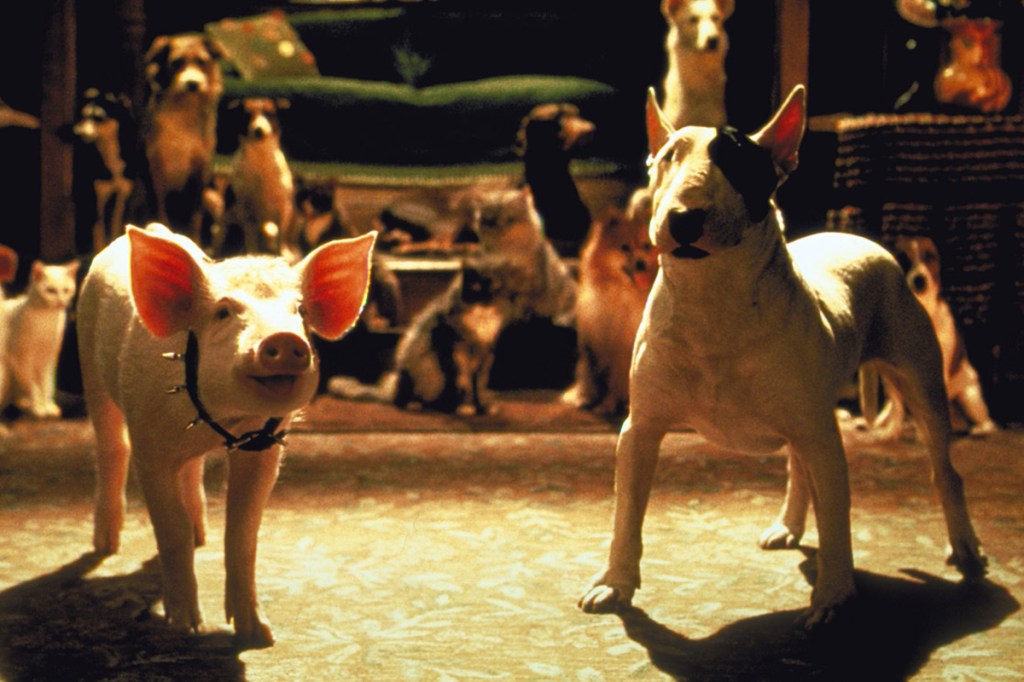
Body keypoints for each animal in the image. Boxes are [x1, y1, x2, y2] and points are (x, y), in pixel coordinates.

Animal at [76, 223, 375, 648]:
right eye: (223, 312)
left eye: (300, 312)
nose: (285, 340)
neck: (222, 418)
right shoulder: (149, 446)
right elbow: (170, 529)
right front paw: (186, 628)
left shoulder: (264, 448)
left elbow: (243, 533)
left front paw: (259, 636)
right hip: (90, 365)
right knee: (111, 447)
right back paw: (105, 544)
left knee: (192, 468)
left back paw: (200, 534)